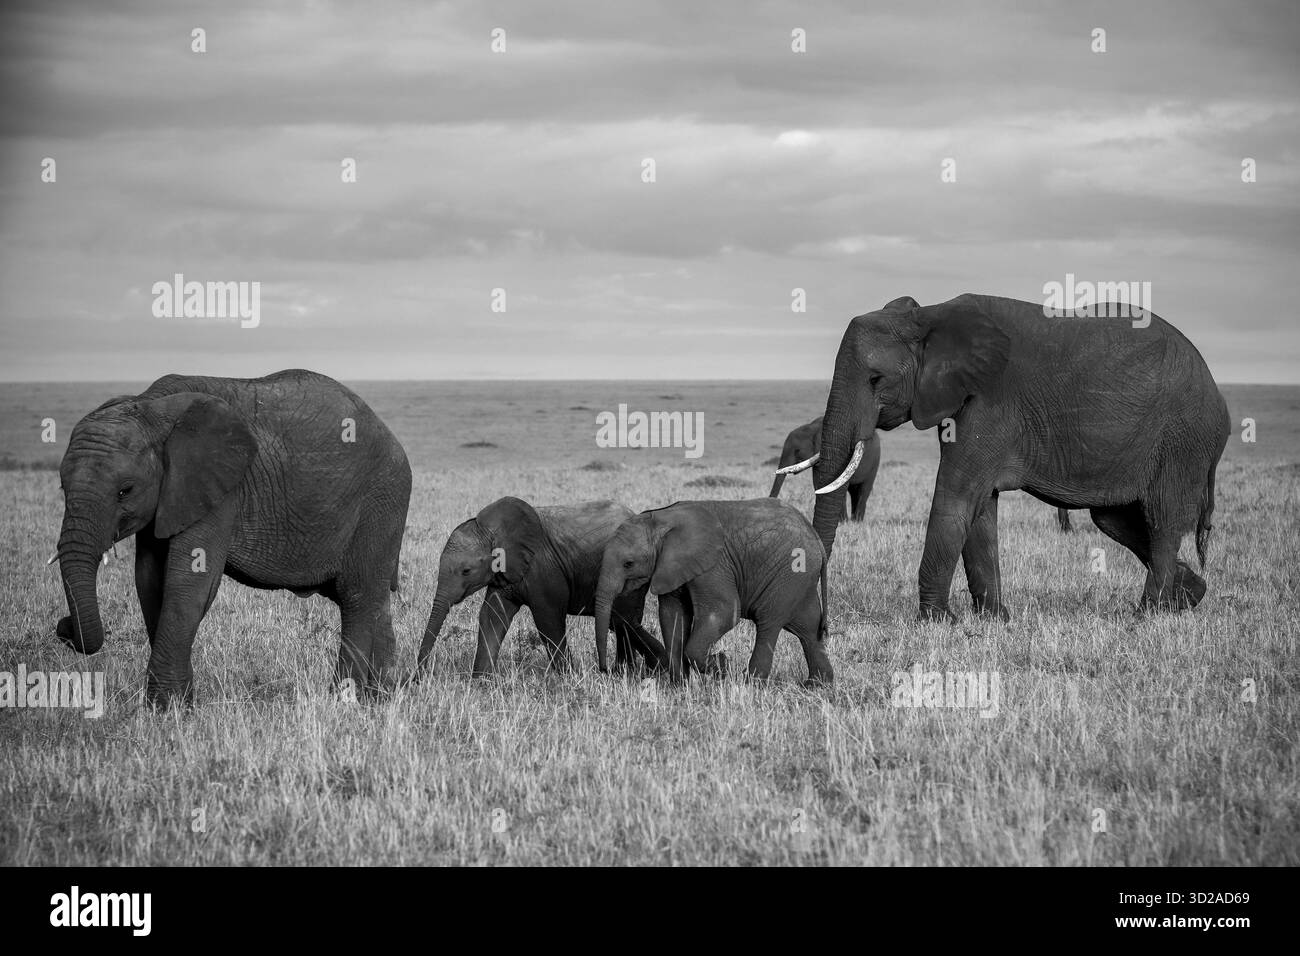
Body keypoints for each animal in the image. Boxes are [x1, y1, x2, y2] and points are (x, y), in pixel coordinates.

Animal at [53, 369, 412, 708]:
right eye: (62, 487)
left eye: (124, 491)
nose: (64, 627)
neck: (150, 405)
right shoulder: (170, 497)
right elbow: (149, 581)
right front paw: (181, 705)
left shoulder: (218, 489)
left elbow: (189, 583)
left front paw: (165, 710)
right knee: (374, 599)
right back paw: (381, 698)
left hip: (382, 500)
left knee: (357, 595)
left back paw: (344, 701)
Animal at [417, 497, 668, 677]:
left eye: (466, 571)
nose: (417, 677)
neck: (492, 530)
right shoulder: (506, 574)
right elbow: (491, 617)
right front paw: (480, 682)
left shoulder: (543, 568)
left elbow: (548, 621)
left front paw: (568, 679)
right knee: (621, 622)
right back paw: (625, 673)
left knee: (623, 619)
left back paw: (629, 672)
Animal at [593, 498, 831, 685]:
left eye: (628, 564)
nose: (605, 671)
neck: (661, 519)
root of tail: (816, 538)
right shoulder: (672, 566)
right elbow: (672, 616)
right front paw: (679, 688)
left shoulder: (713, 565)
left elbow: (724, 613)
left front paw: (723, 665)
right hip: (800, 580)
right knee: (808, 629)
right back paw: (816, 685)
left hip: (788, 574)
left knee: (769, 624)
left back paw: (751, 684)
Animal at [811, 294, 1230, 621]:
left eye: (875, 379)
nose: (825, 618)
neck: (929, 316)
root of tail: (1219, 397)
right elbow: (980, 506)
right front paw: (995, 620)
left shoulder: (991, 404)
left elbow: (956, 497)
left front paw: (938, 621)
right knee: (1116, 520)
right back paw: (1189, 596)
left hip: (1182, 439)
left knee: (1162, 520)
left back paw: (1147, 614)